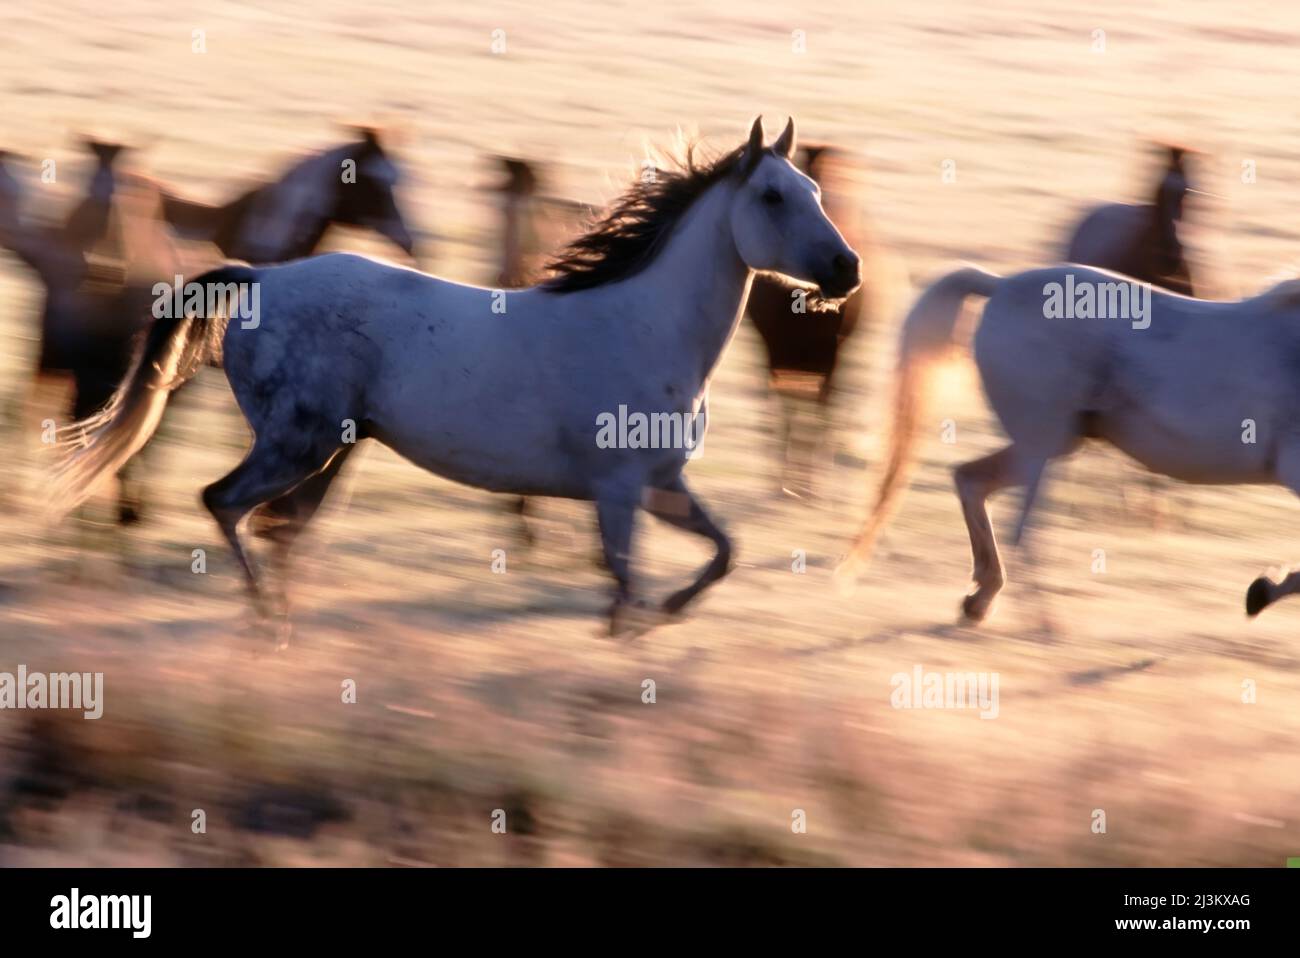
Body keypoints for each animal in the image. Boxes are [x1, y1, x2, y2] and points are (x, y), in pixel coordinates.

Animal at [53, 117, 861, 641]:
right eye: (773, 196)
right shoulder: (618, 489)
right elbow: (625, 580)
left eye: (816, 188)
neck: (643, 326)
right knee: (224, 504)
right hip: (297, 445)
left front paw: (663, 617)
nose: (846, 269)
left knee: (278, 526)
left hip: (330, 451)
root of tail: (259, 278)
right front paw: (623, 640)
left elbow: (723, 552)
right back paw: (266, 622)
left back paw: (282, 619)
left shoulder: (663, 486)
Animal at [838, 263, 1300, 622]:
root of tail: (1000, 286)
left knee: (970, 481)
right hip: (1042, 449)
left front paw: (1260, 590)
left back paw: (979, 601)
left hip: (1049, 446)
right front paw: (1261, 592)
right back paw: (1046, 629)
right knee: (1021, 531)